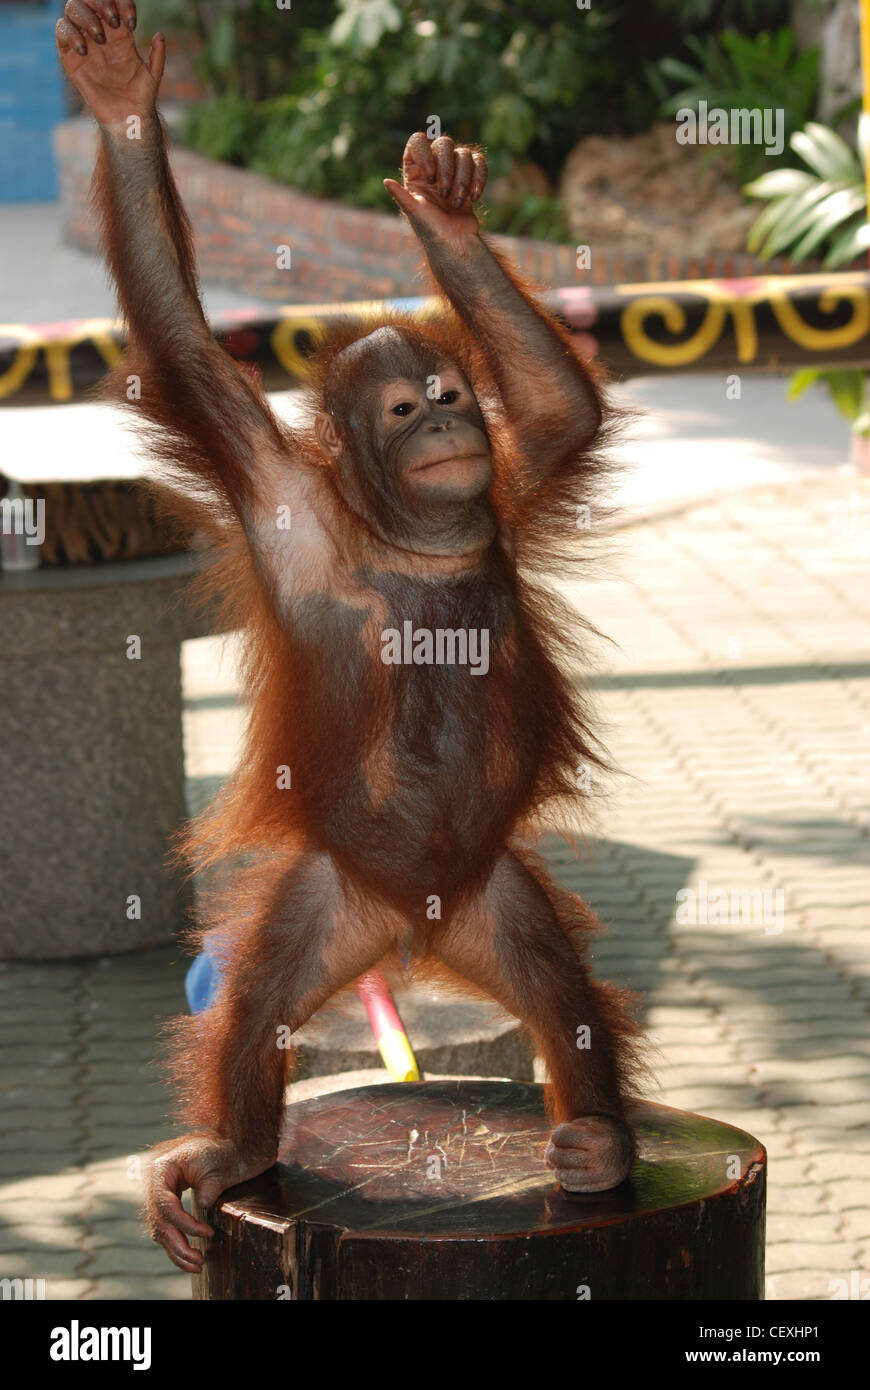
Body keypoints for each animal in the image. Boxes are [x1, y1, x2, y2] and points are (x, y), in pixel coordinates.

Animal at [57, 1, 642, 1274]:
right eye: (404, 410)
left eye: (453, 394)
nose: (445, 426)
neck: (409, 544)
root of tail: (411, 931)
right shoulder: (279, 499)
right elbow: (186, 346)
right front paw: (122, 102)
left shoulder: (509, 482)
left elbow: (560, 407)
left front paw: (444, 214)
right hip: (327, 893)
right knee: (257, 1005)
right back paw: (232, 1147)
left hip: (494, 890)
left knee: (559, 988)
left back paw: (599, 1143)